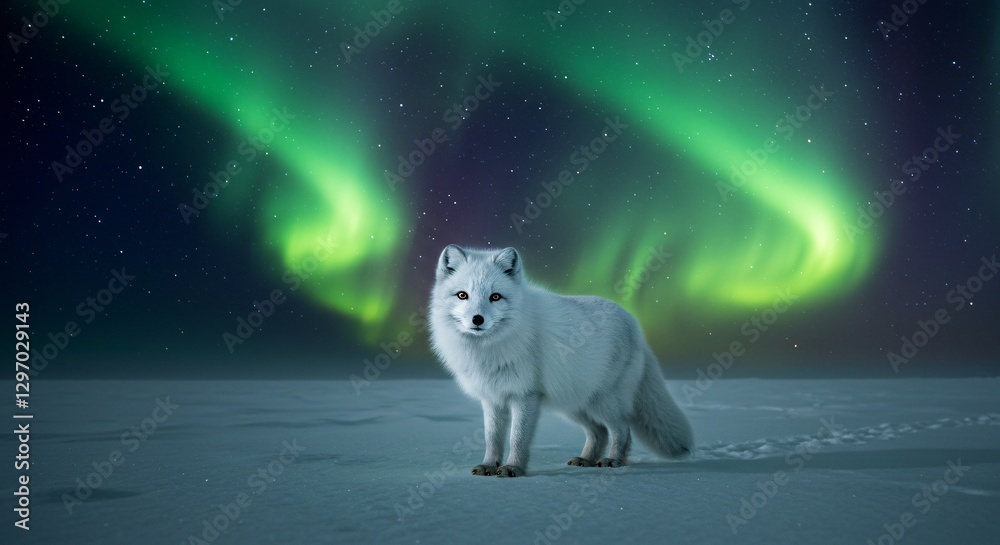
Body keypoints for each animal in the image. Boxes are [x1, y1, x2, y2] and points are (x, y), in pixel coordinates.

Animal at [429, 244, 693, 477]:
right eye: (462, 295)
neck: (487, 348)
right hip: (574, 404)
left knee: (622, 430)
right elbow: (492, 438)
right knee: (599, 432)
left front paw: (513, 468)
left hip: (603, 401)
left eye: (495, 297)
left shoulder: (525, 395)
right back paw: (586, 460)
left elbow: (517, 437)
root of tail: (635, 324)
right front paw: (488, 466)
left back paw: (613, 460)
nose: (477, 319)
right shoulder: (492, 398)